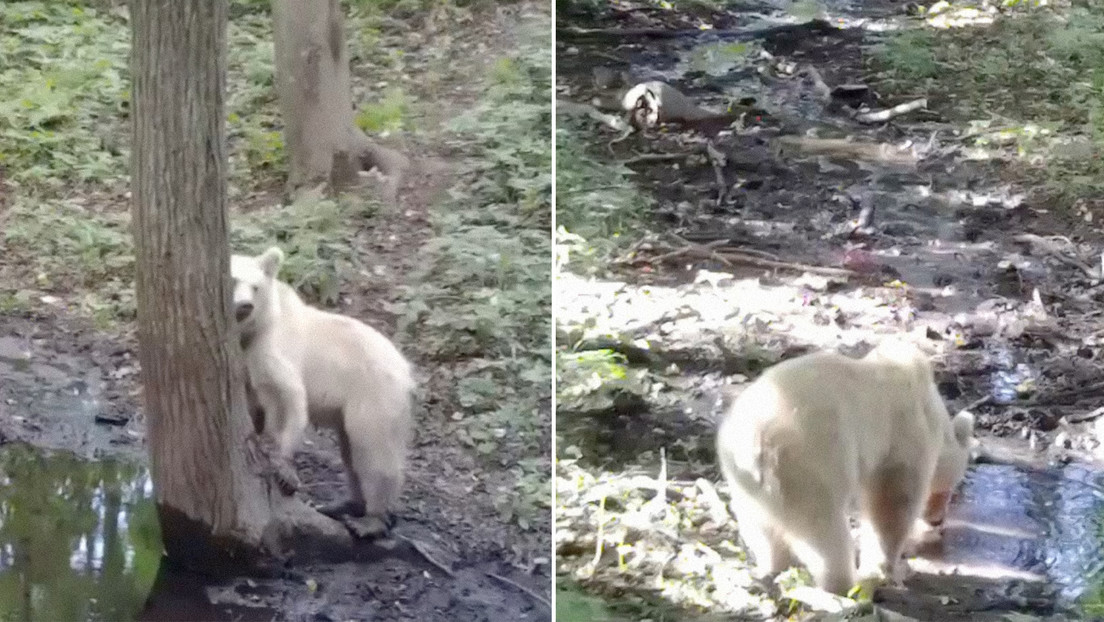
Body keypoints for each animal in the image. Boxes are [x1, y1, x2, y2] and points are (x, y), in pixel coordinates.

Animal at [231, 246, 415, 535]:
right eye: (234, 280)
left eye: (255, 287)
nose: (244, 306)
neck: (254, 330)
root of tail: (406, 371)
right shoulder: (247, 362)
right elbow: (255, 405)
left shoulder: (274, 352)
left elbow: (290, 400)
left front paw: (284, 468)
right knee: (351, 454)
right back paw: (345, 504)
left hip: (374, 397)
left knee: (374, 453)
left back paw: (370, 519)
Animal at [715, 339, 974, 595]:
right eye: (949, 490)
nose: (938, 521)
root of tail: (753, 445)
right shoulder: (902, 432)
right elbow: (893, 500)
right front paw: (890, 567)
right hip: (806, 466)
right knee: (824, 532)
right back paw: (846, 583)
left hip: (745, 482)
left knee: (761, 527)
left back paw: (773, 567)